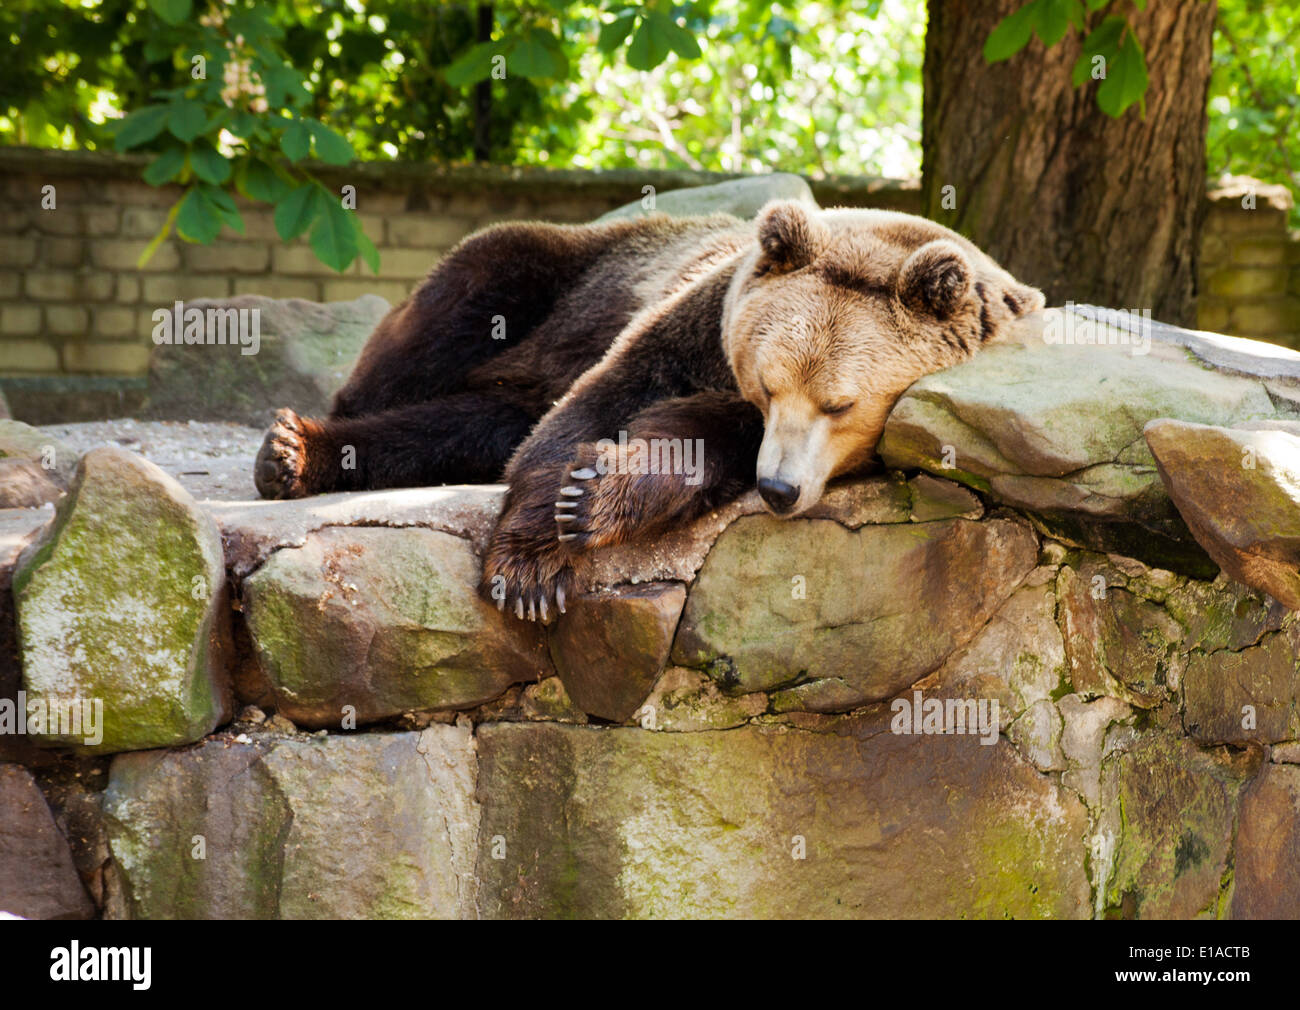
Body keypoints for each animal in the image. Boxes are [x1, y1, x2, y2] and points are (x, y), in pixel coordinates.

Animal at [254, 200, 1043, 621]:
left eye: (840, 403)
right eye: (768, 384)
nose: (779, 489)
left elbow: (689, 440)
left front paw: (597, 492)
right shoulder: (691, 322)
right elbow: (600, 402)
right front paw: (532, 569)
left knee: (470, 424)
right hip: (564, 272)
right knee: (455, 310)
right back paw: (296, 449)